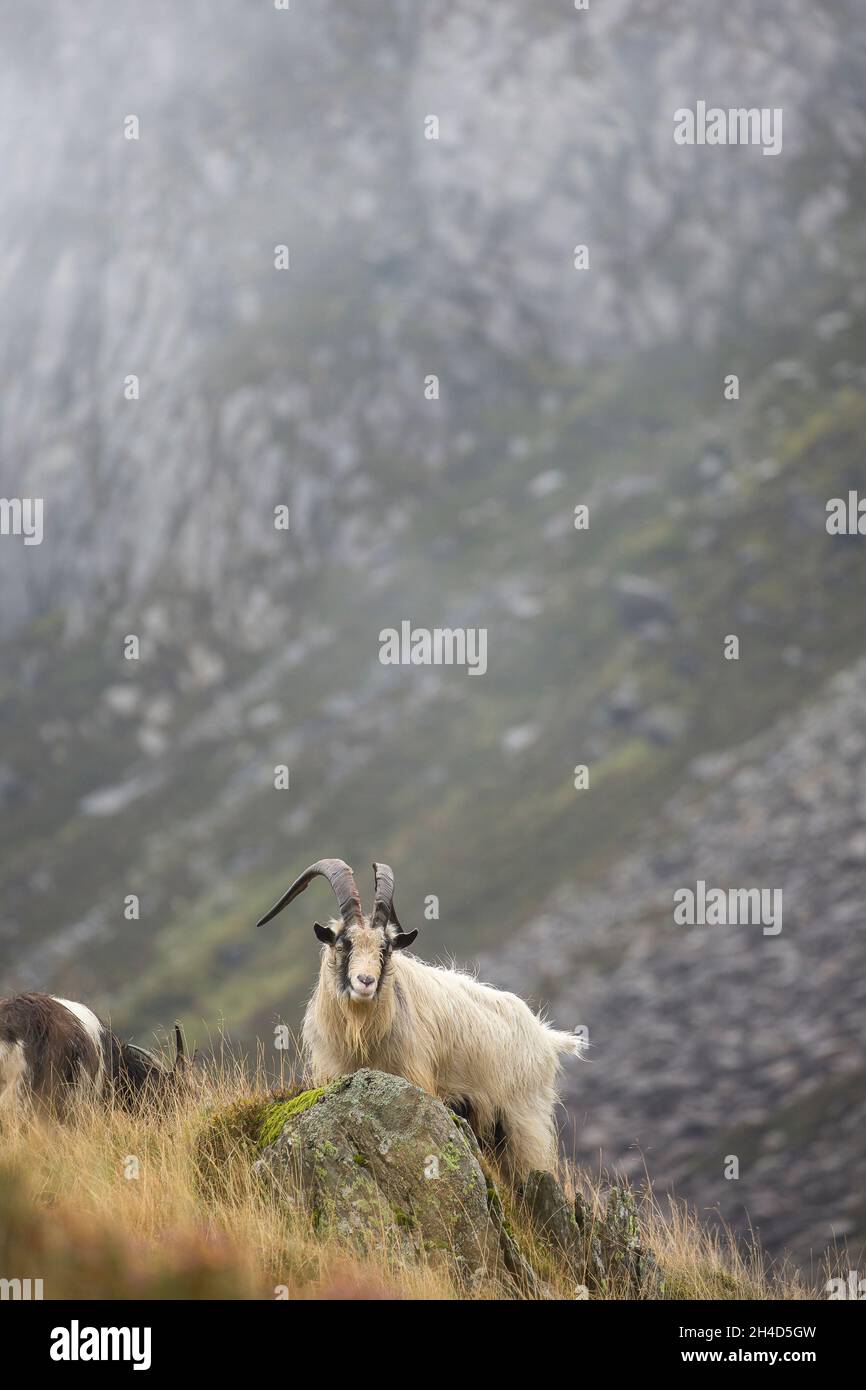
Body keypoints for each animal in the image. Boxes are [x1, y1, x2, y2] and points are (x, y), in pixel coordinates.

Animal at [256, 858, 584, 1177]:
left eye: (385, 948)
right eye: (343, 942)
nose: (365, 981)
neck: (362, 1036)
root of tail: (547, 1038)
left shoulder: (415, 1076)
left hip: (525, 1123)